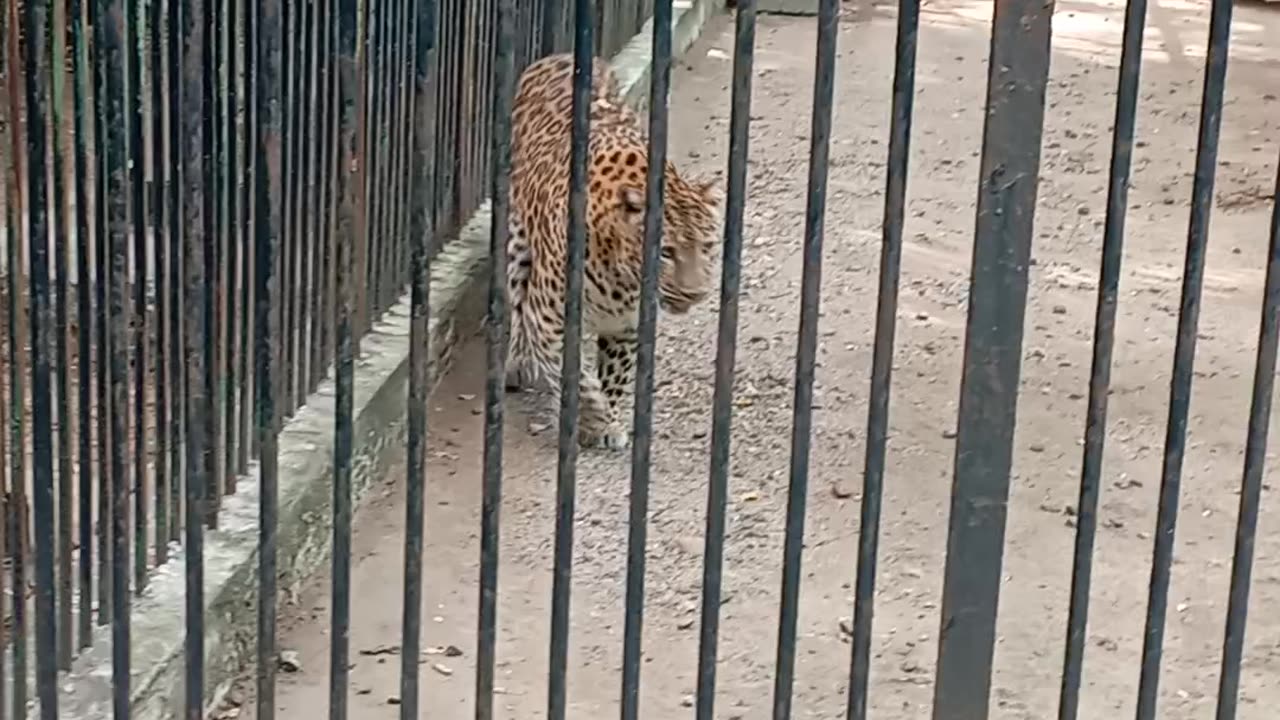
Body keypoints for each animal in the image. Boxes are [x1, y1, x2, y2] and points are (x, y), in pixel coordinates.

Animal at [504, 52, 721, 450]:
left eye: (708, 246)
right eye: (666, 252)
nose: (695, 294)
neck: (619, 274)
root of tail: (559, 55)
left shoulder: (626, 323)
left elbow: (615, 374)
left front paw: (608, 422)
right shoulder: (549, 319)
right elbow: (576, 376)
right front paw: (592, 420)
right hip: (518, 242)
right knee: (517, 307)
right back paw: (517, 363)